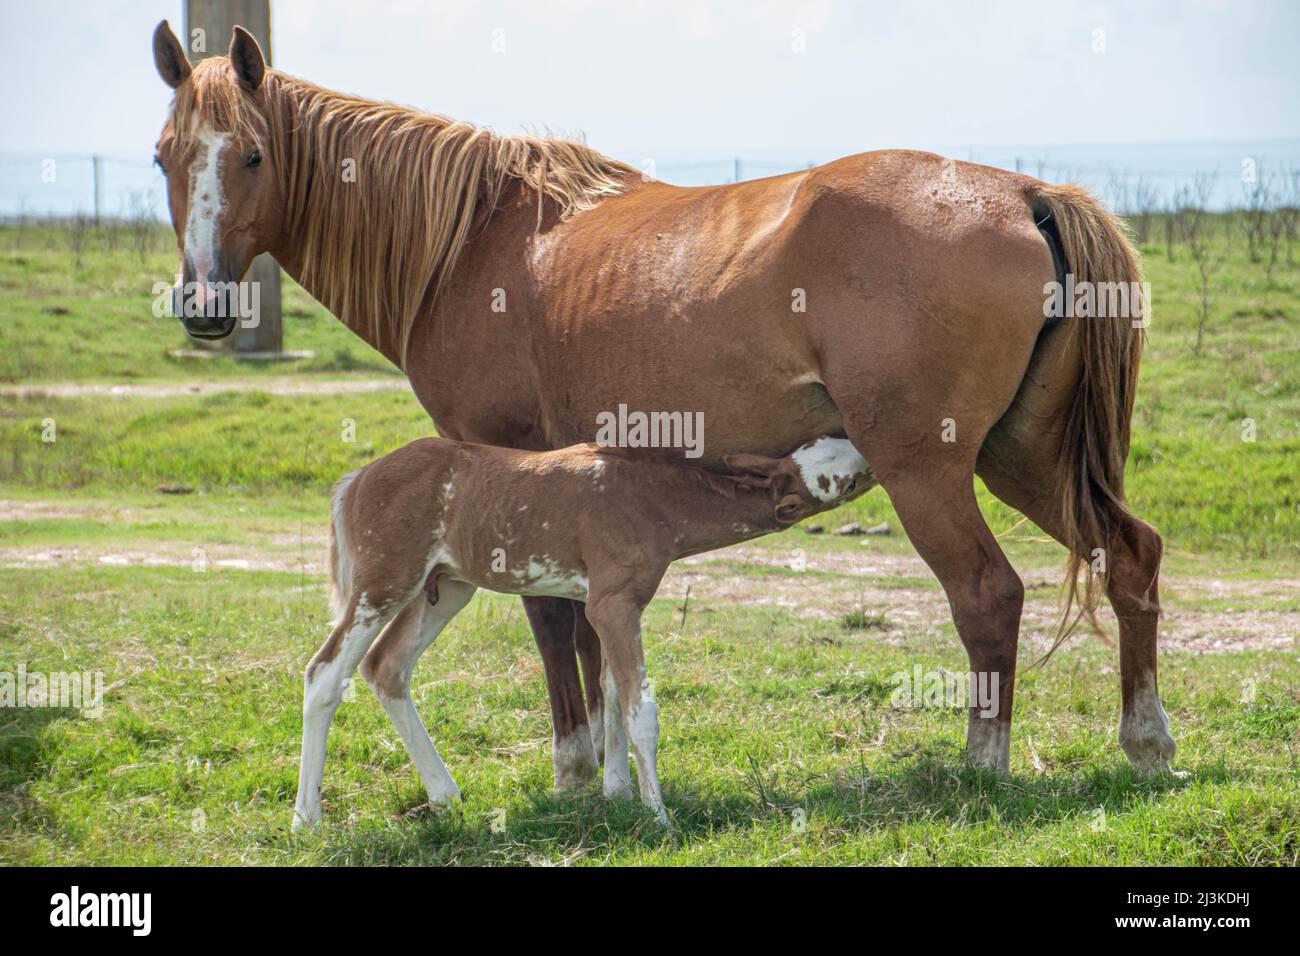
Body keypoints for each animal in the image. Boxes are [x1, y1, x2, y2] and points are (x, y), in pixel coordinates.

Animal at [294, 436, 872, 827]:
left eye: (833, 446)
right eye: (845, 481)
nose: (865, 453)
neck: (653, 499)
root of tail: (353, 482)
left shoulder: (612, 606)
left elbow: (610, 690)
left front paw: (619, 793)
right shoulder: (614, 602)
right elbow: (642, 711)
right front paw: (658, 816)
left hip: (446, 586)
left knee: (386, 666)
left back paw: (446, 796)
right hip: (386, 579)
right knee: (325, 672)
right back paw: (308, 820)